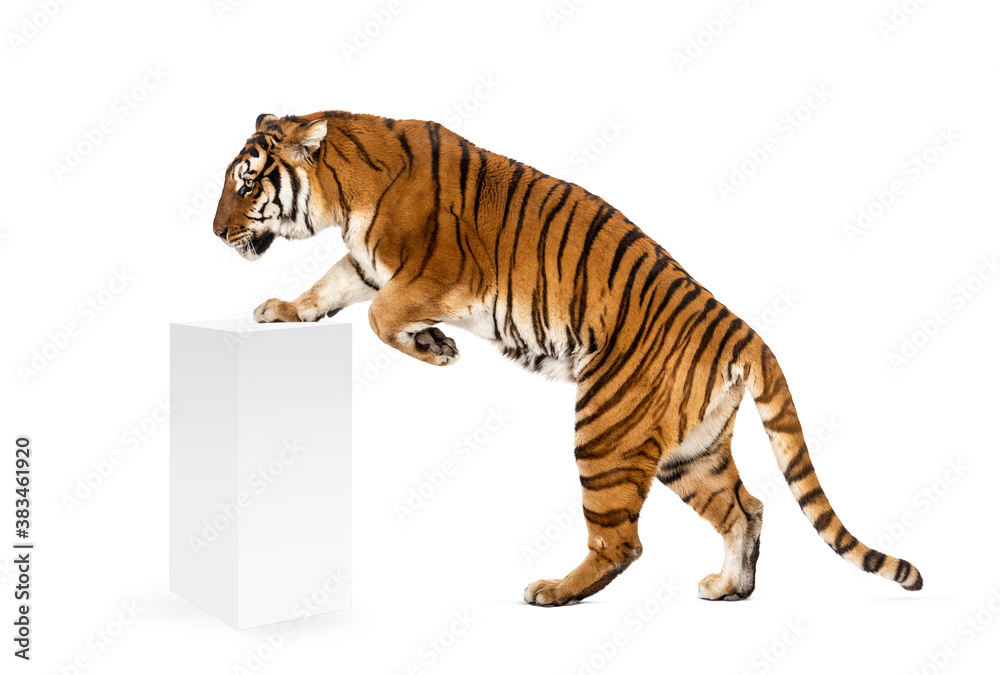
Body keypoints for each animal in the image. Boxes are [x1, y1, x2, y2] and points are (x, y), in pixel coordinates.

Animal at [211, 111, 923, 606]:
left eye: (246, 185)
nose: (216, 232)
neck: (343, 190)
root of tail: (742, 330)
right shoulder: (364, 264)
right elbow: (328, 289)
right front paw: (281, 308)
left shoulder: (434, 275)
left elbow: (380, 316)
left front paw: (437, 349)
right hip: (692, 452)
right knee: (746, 508)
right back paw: (729, 589)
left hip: (605, 429)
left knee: (622, 541)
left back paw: (555, 591)